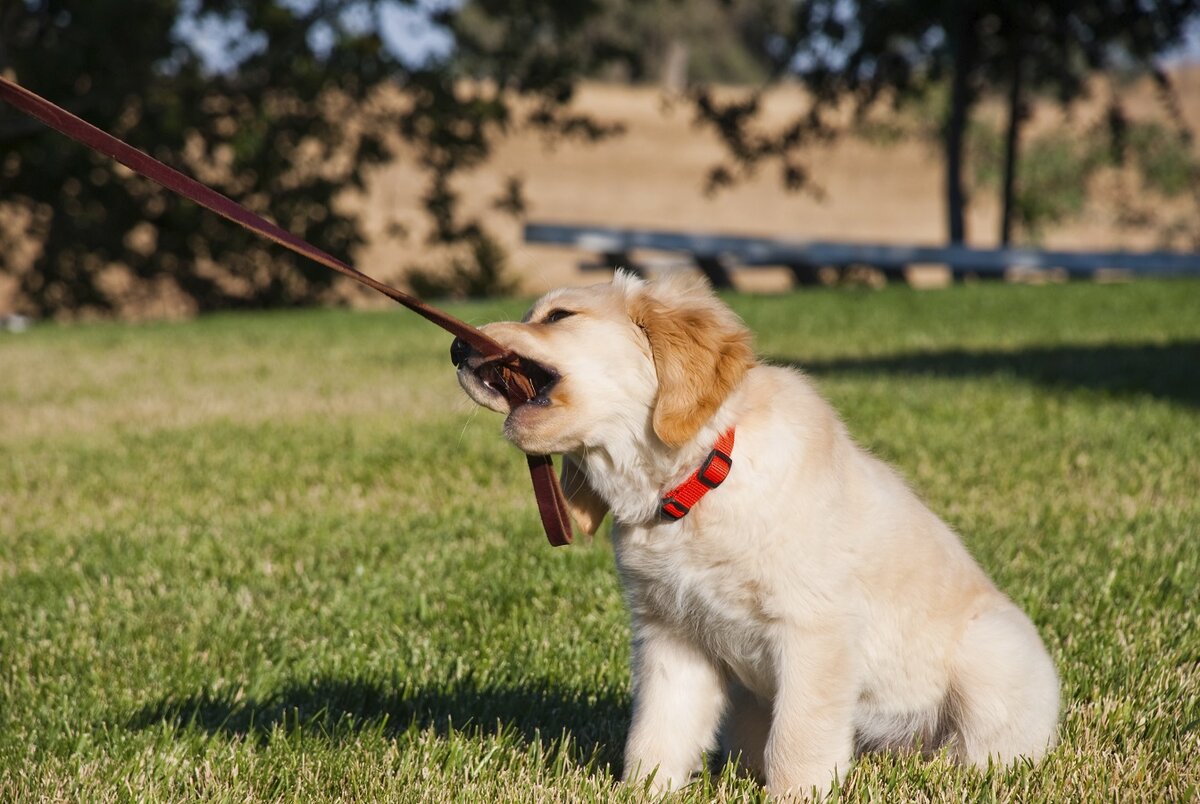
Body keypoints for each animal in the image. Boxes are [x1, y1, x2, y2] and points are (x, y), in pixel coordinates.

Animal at [451, 272, 1060, 801]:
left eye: (559, 316)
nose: (456, 349)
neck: (698, 484)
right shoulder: (672, 634)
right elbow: (658, 731)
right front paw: (644, 790)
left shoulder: (814, 630)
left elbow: (799, 737)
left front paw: (793, 793)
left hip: (992, 653)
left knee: (982, 749)